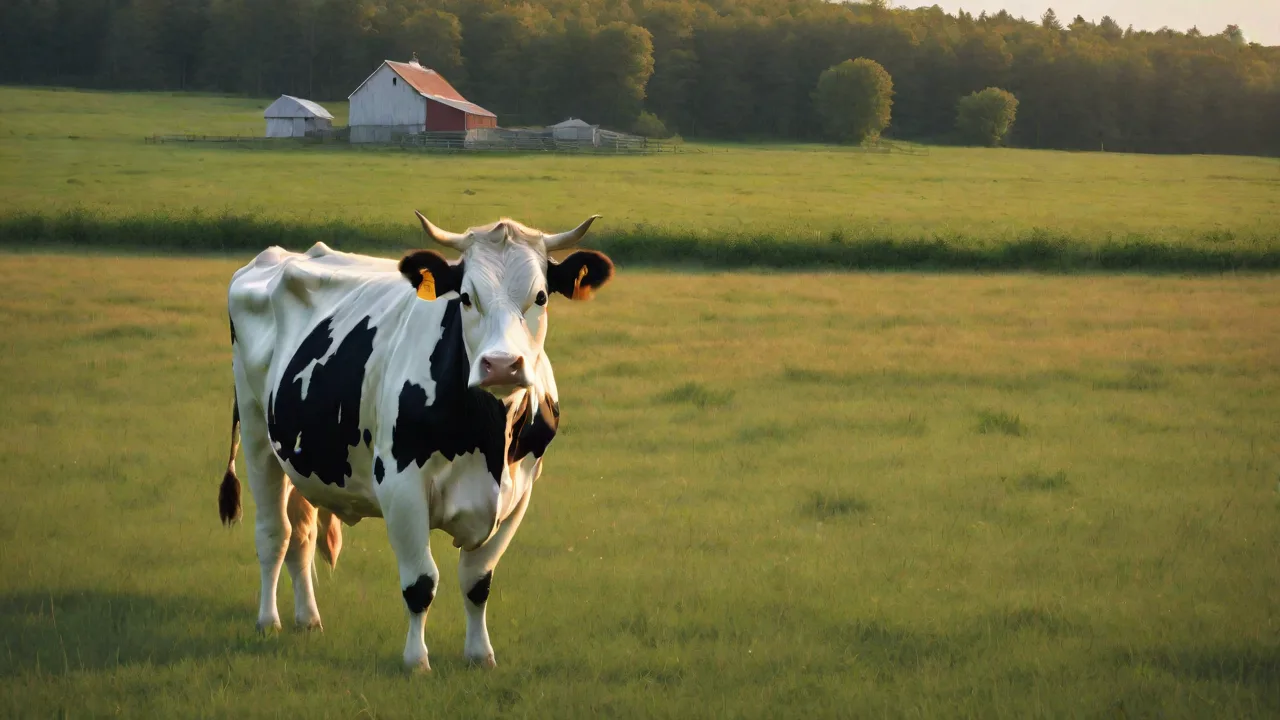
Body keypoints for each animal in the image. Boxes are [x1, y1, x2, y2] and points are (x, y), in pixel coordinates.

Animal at [217, 212, 612, 671]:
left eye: (542, 296)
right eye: (465, 298)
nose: (501, 365)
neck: (489, 439)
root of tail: (274, 257)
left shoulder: (520, 491)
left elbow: (477, 581)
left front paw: (480, 655)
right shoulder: (400, 485)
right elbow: (421, 582)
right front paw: (416, 660)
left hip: (302, 456)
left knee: (302, 533)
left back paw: (309, 619)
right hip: (256, 431)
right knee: (273, 533)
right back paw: (269, 621)